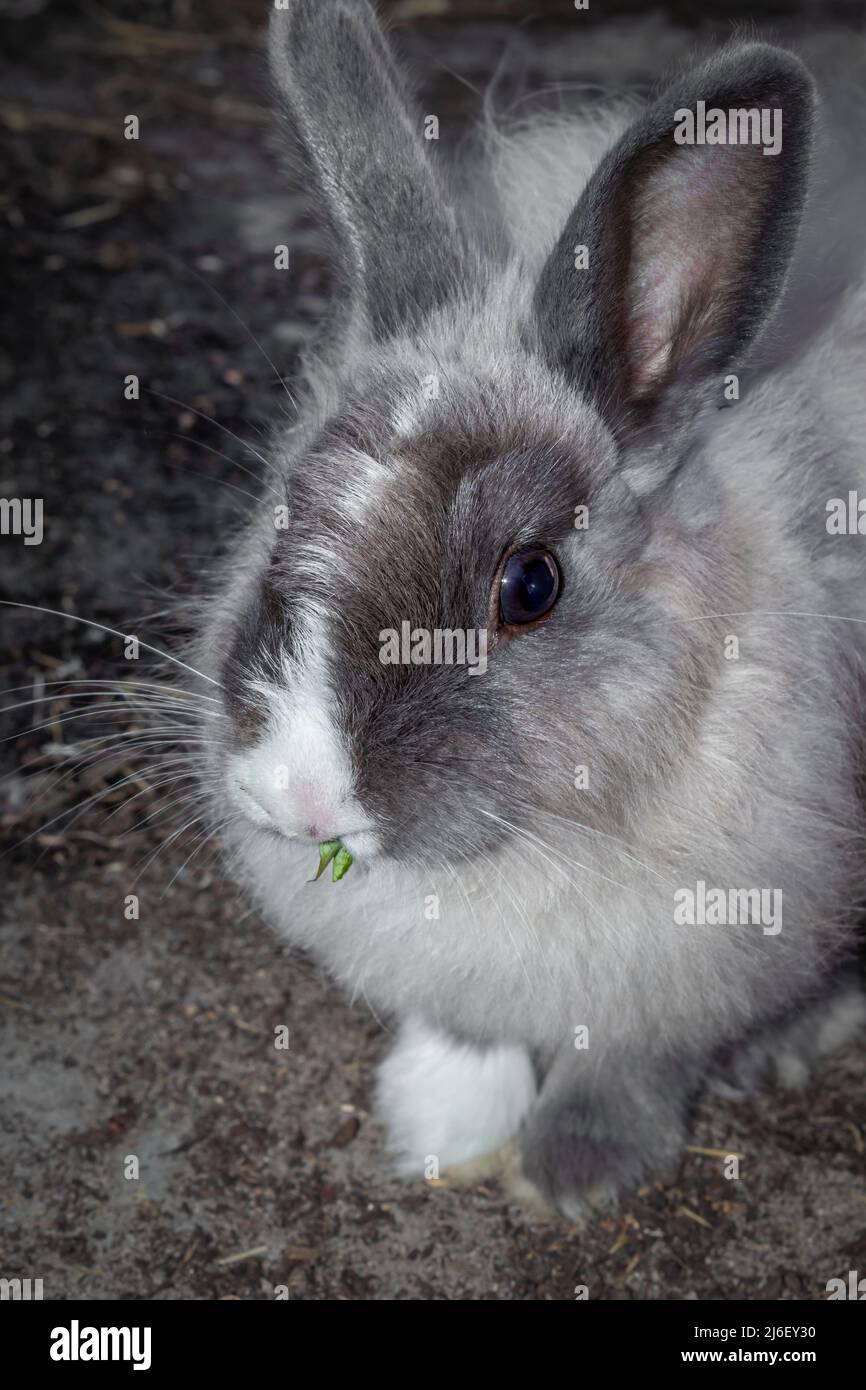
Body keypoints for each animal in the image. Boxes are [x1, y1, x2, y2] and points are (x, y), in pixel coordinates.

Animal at [192, 0, 866, 1222]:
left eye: (530, 585)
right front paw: (438, 1121)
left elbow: (636, 1059)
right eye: (284, 516)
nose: (300, 797)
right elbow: (465, 1026)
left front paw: (575, 1171)